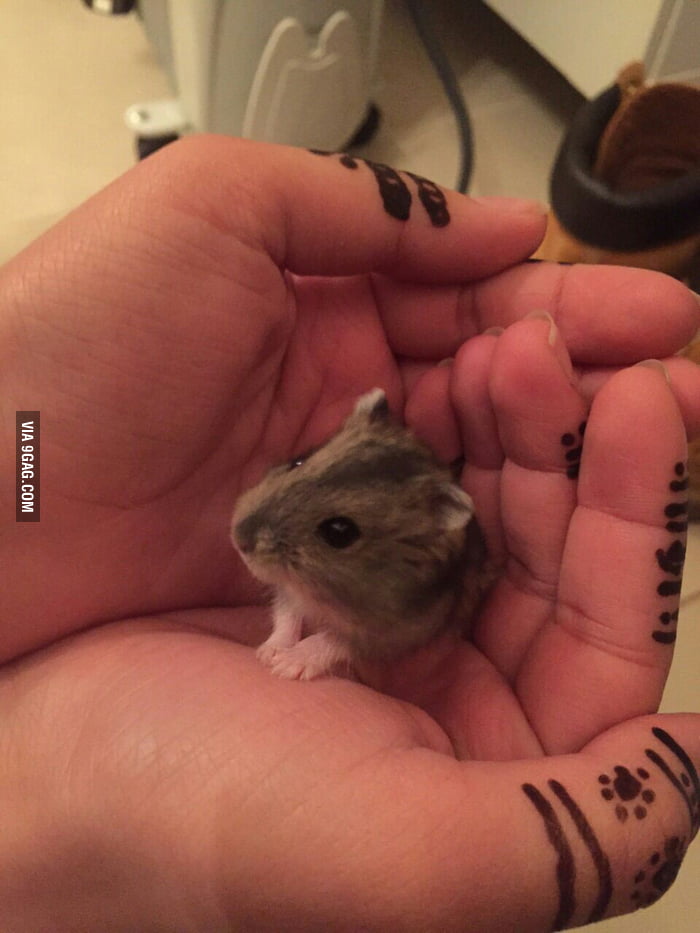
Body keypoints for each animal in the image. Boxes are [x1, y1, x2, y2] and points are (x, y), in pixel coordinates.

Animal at [231, 388, 492, 681]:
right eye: (297, 461)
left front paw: (285, 665)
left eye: (339, 532)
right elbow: (287, 615)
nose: (239, 539)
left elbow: (330, 640)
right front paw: (268, 653)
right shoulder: (289, 592)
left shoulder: (388, 635)